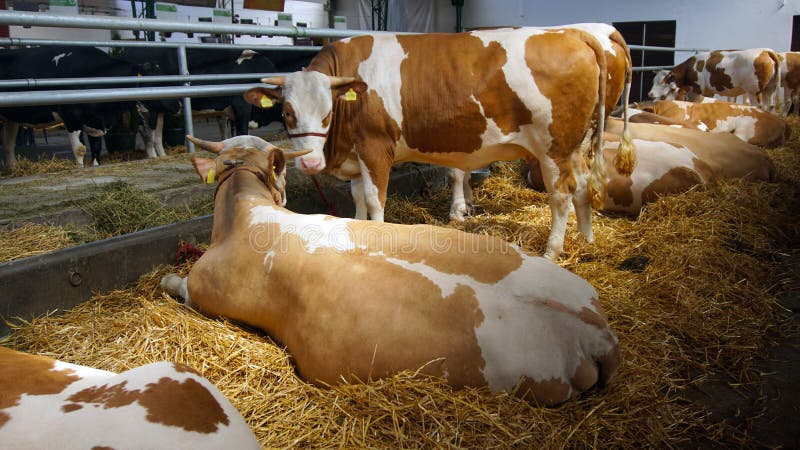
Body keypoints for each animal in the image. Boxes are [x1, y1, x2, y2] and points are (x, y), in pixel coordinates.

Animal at [0, 46, 159, 170]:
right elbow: (80, 149)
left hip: (10, 119)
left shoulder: (94, 120)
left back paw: (13, 168)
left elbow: (96, 148)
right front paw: (80, 168)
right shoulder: (71, 116)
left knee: (8, 144)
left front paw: (95, 166)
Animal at [243, 27, 637, 259]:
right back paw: (586, 239)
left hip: (553, 147)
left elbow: (374, 198)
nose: (309, 163)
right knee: (583, 185)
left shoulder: (376, 147)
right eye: (287, 112)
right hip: (577, 144)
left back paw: (552, 252)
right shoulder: (357, 155)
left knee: (561, 194)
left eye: (328, 113)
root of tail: (575, 34)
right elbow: (358, 198)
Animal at [648, 49, 783, 111]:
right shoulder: (708, 91)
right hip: (770, 88)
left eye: (662, 82)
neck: (690, 68)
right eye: (653, 81)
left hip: (754, 91)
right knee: (769, 106)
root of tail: (765, 50)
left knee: (758, 107)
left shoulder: (697, 89)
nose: (650, 94)